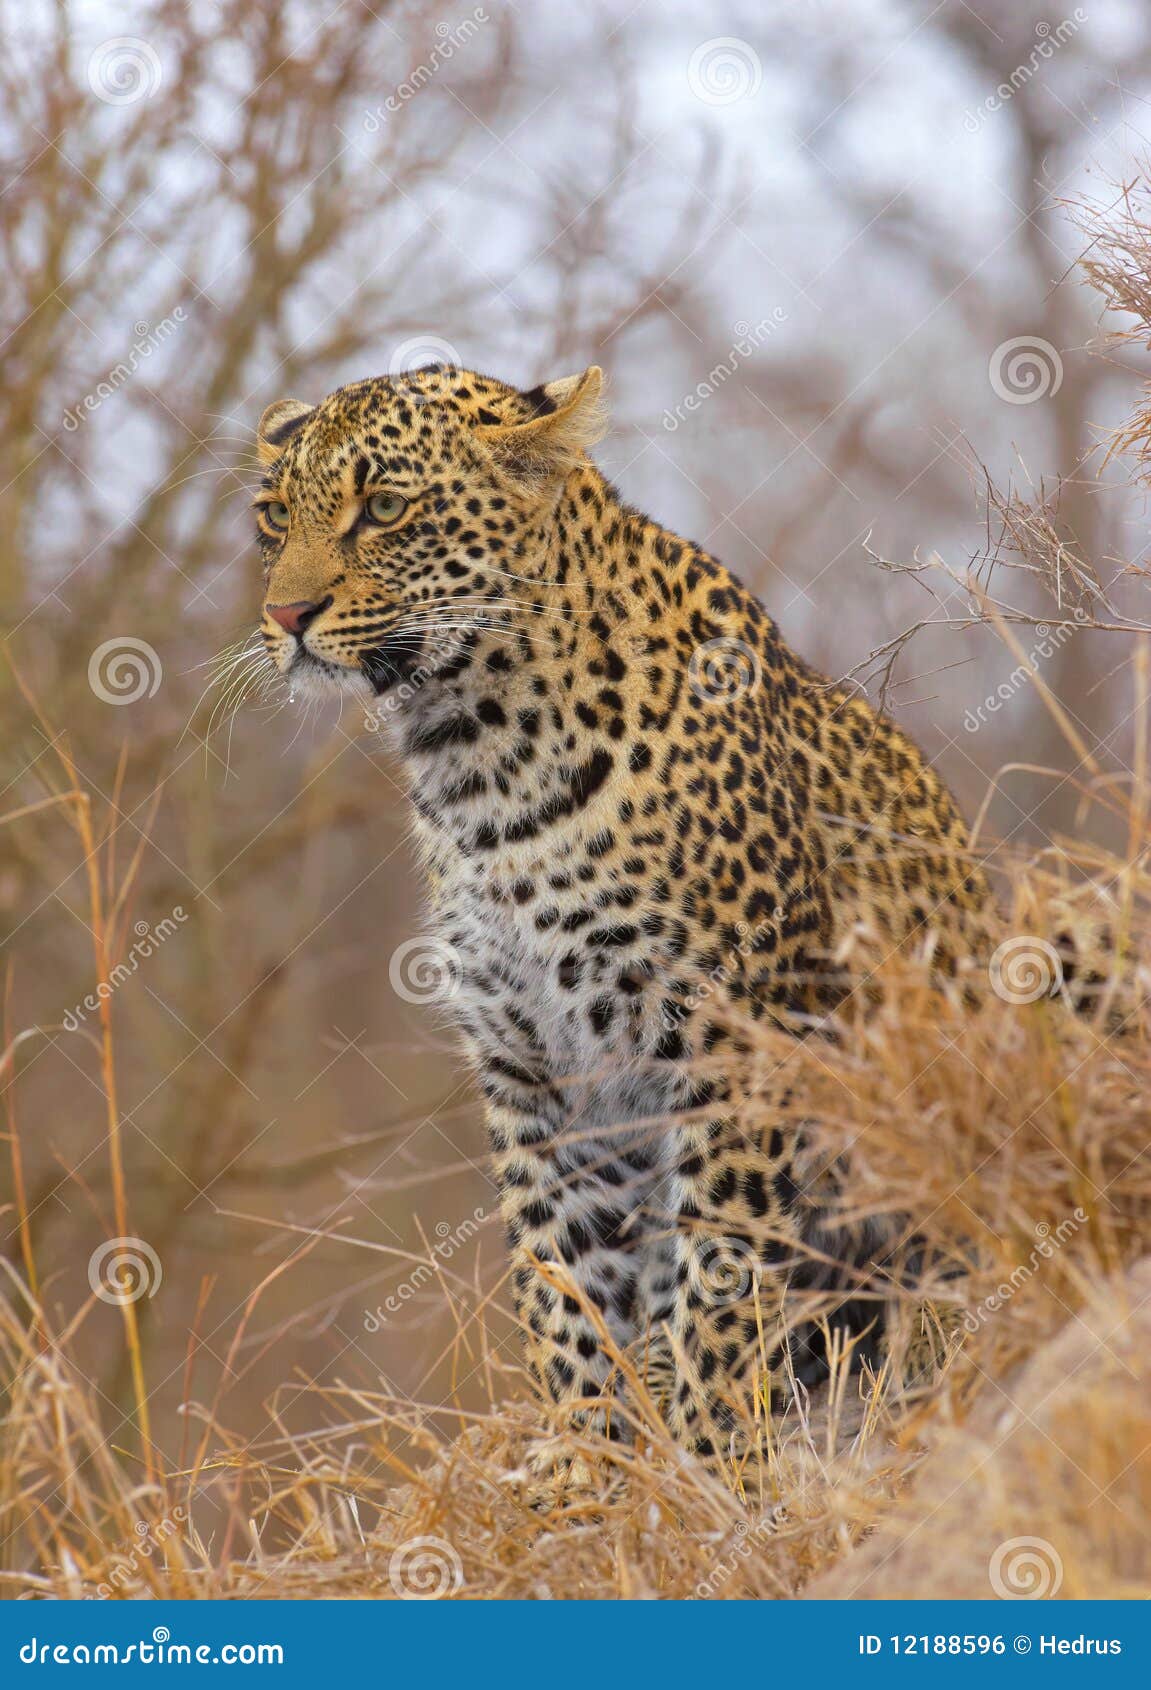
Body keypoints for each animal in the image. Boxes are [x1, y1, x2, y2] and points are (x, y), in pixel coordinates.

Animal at [251, 360, 996, 1465]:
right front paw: (581, 1464)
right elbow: (562, 1279)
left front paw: (709, 1448)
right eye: (272, 517)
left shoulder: (729, 1036)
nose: (287, 615)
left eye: (382, 509)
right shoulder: (531, 1066)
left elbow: (719, 1265)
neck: (477, 764)